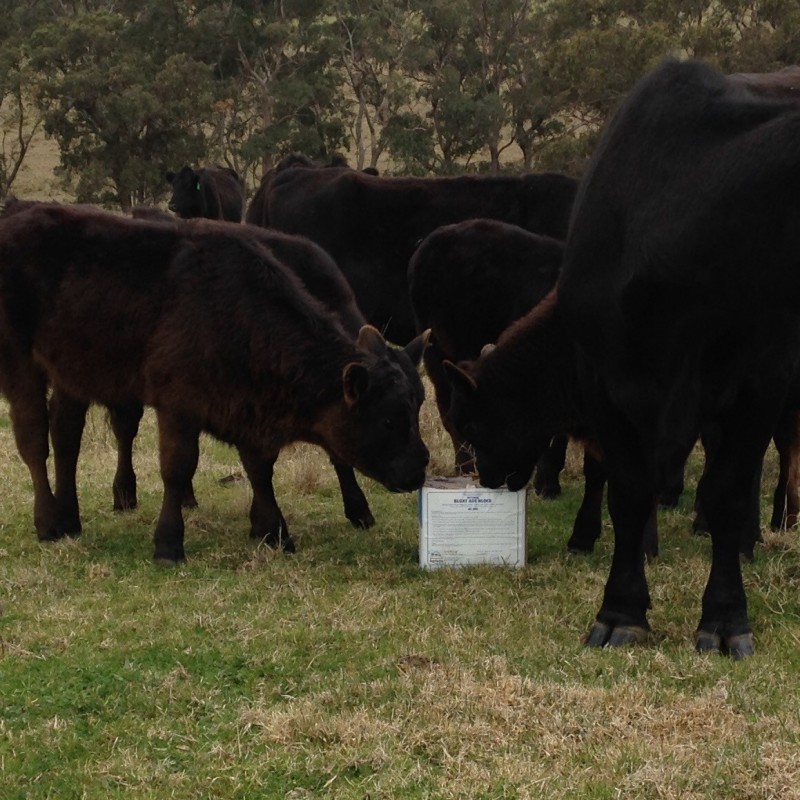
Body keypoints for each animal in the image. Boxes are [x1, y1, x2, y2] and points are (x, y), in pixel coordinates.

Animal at [0, 202, 430, 564]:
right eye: (388, 419)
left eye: (418, 406)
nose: (420, 467)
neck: (232, 312)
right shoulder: (178, 407)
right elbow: (178, 468)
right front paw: (169, 544)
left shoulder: (246, 406)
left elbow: (260, 469)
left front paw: (273, 531)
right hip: (22, 369)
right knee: (34, 442)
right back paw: (49, 522)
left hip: (72, 377)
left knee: (65, 438)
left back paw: (70, 518)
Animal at [447, 59, 800, 658]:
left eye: (472, 424)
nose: (487, 478)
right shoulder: (606, 387)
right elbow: (629, 494)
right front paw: (622, 611)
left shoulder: (761, 382)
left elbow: (726, 496)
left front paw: (725, 617)